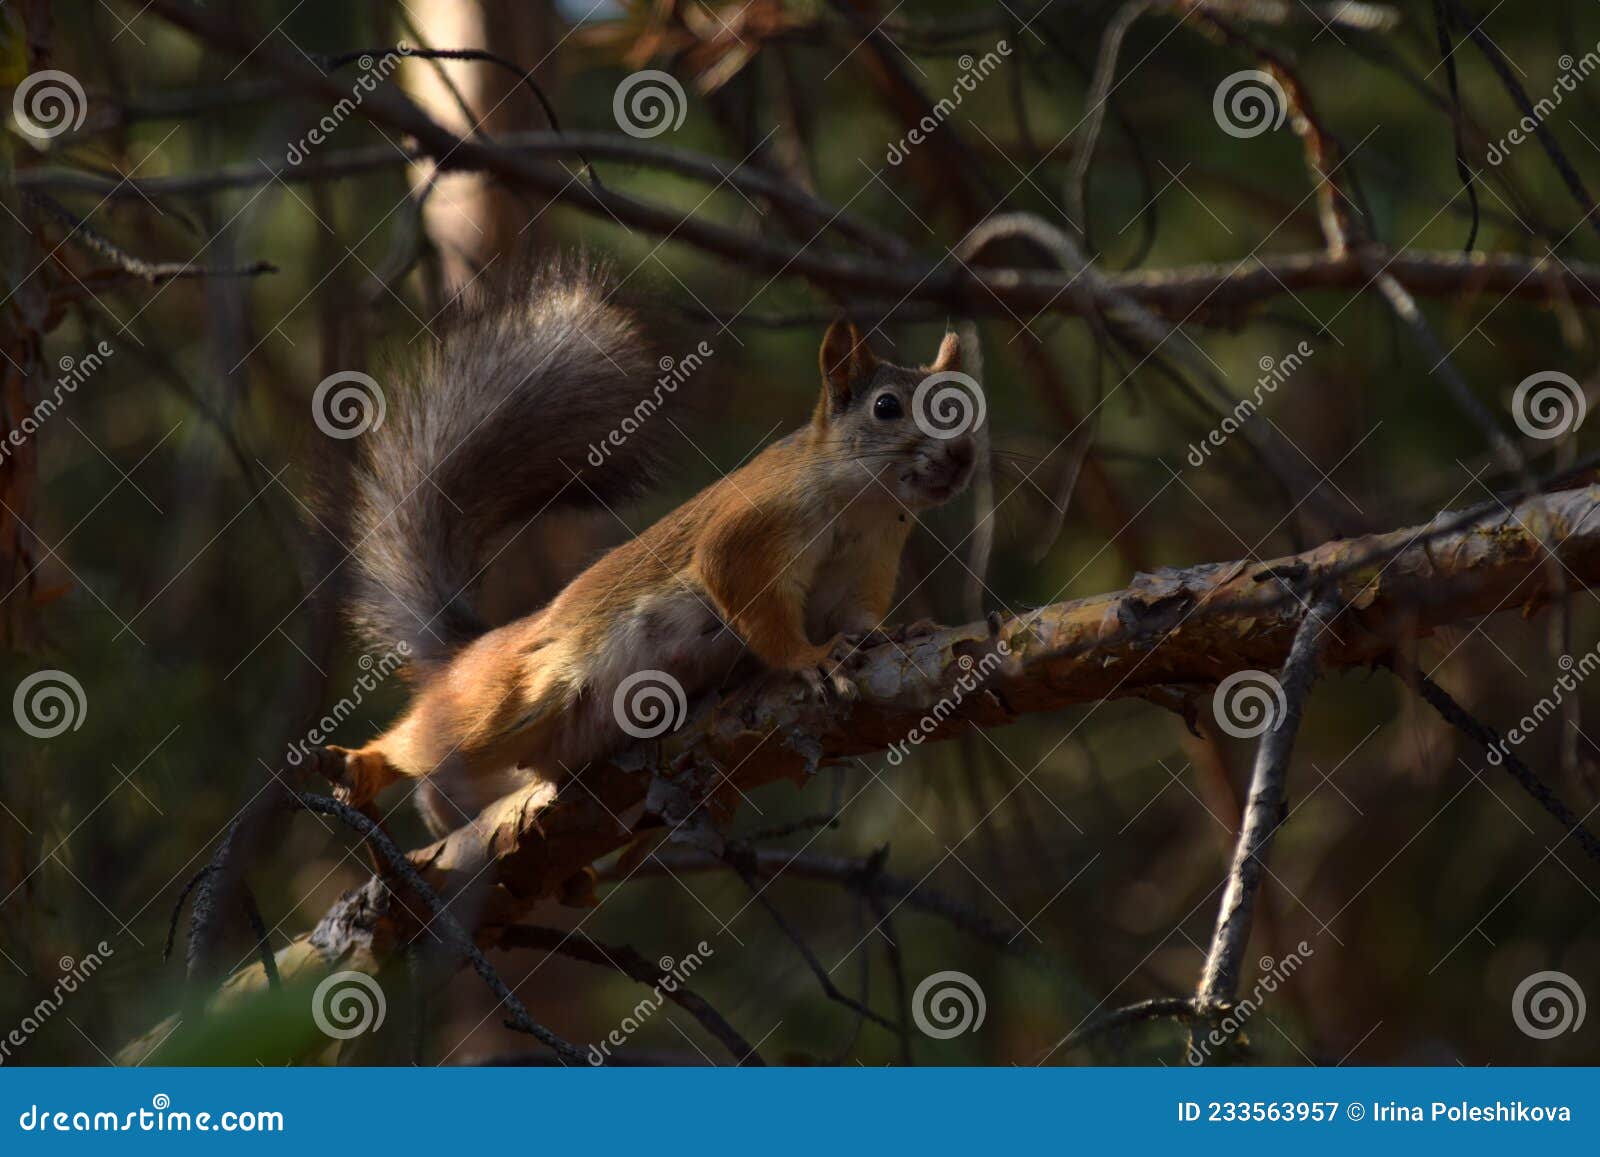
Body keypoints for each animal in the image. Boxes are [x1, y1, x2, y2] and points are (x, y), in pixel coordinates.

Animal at [327, 256, 977, 837]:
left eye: (965, 404)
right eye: (886, 406)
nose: (962, 456)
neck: (863, 506)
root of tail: (467, 651)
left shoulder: (867, 564)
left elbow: (858, 618)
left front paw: (894, 632)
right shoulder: (751, 530)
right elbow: (754, 604)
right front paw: (808, 658)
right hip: (501, 704)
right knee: (427, 741)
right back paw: (363, 765)